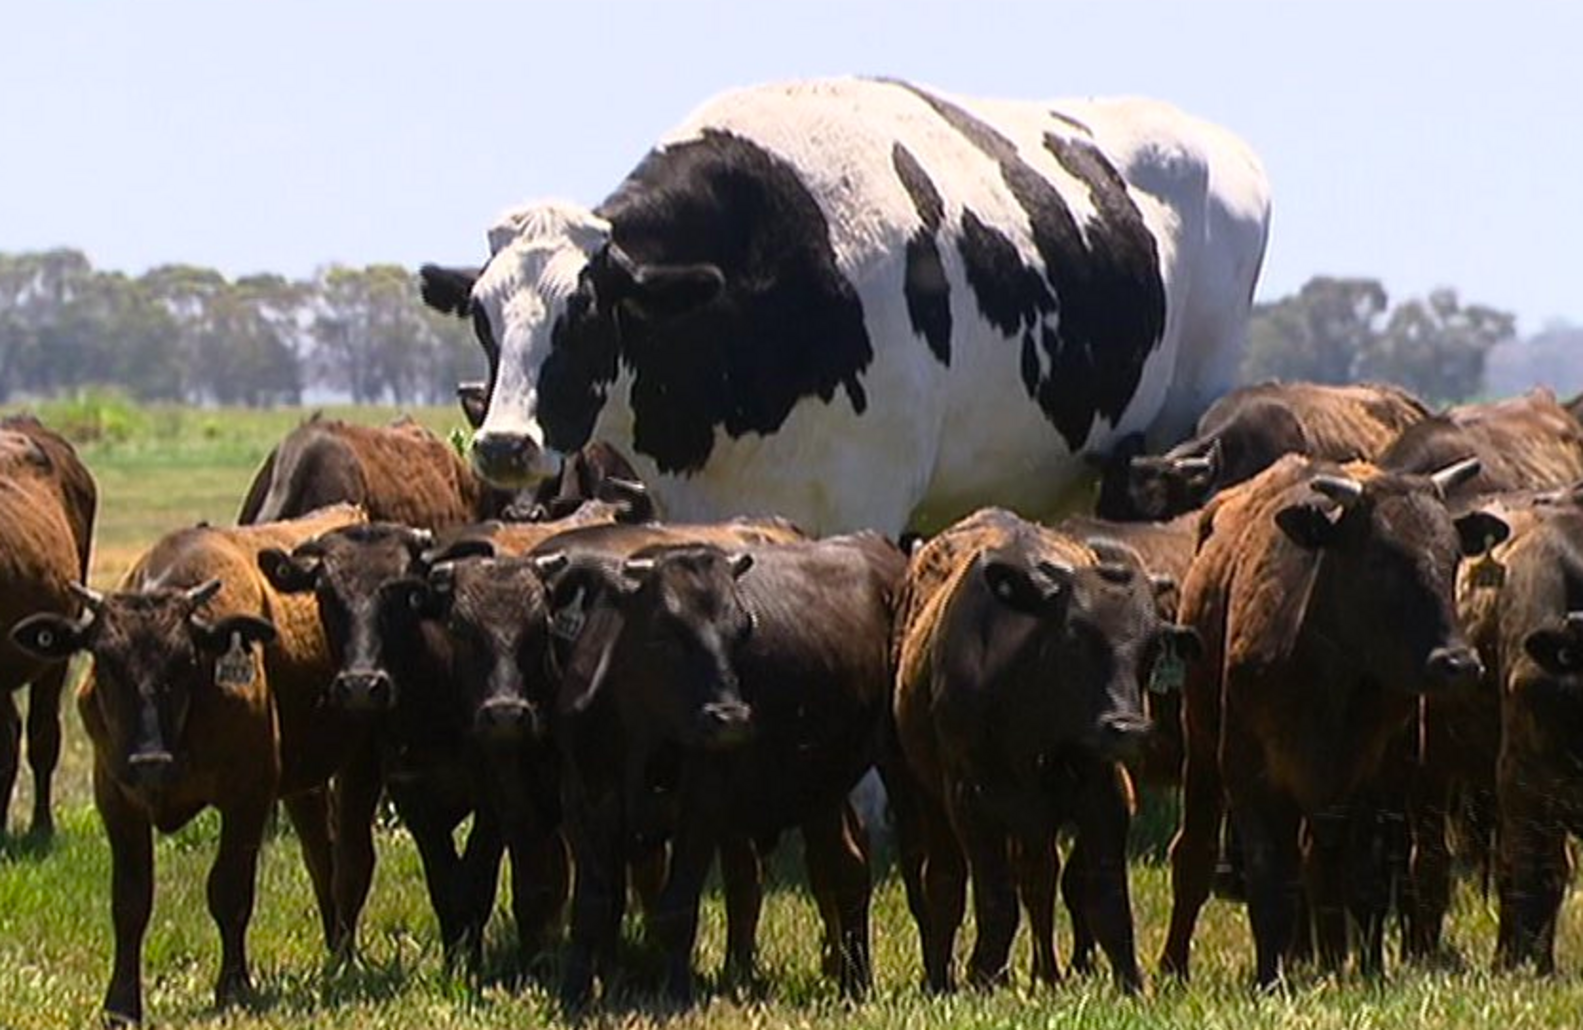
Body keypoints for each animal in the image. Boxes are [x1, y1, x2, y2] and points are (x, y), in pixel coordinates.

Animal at [9, 504, 374, 1024]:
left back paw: (345, 955)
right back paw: (334, 948)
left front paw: (234, 985)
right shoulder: (117, 798)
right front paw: (121, 1004)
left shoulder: (247, 796)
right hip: (304, 783)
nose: (149, 760)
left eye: (184, 661)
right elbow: (130, 901)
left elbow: (229, 891)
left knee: (351, 860)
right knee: (320, 855)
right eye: (106, 661)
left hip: (360, 761)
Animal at [888, 508, 1199, 992]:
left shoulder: (1103, 793)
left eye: (1151, 649)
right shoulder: (970, 799)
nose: (1126, 727)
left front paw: (1130, 983)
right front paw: (983, 976)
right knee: (946, 882)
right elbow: (995, 899)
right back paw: (941, 977)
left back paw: (1046, 975)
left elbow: (1107, 898)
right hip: (929, 796)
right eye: (1074, 635)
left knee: (1039, 879)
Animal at [1157, 455, 1509, 986]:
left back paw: (1324, 959)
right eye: (1380, 560)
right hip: (1200, 744)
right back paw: (1175, 966)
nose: (1459, 663)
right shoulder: (1251, 772)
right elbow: (1269, 877)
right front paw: (1269, 978)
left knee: (1321, 865)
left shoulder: (1377, 778)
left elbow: (1363, 878)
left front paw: (1369, 972)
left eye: (1452, 559)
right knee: (1194, 855)